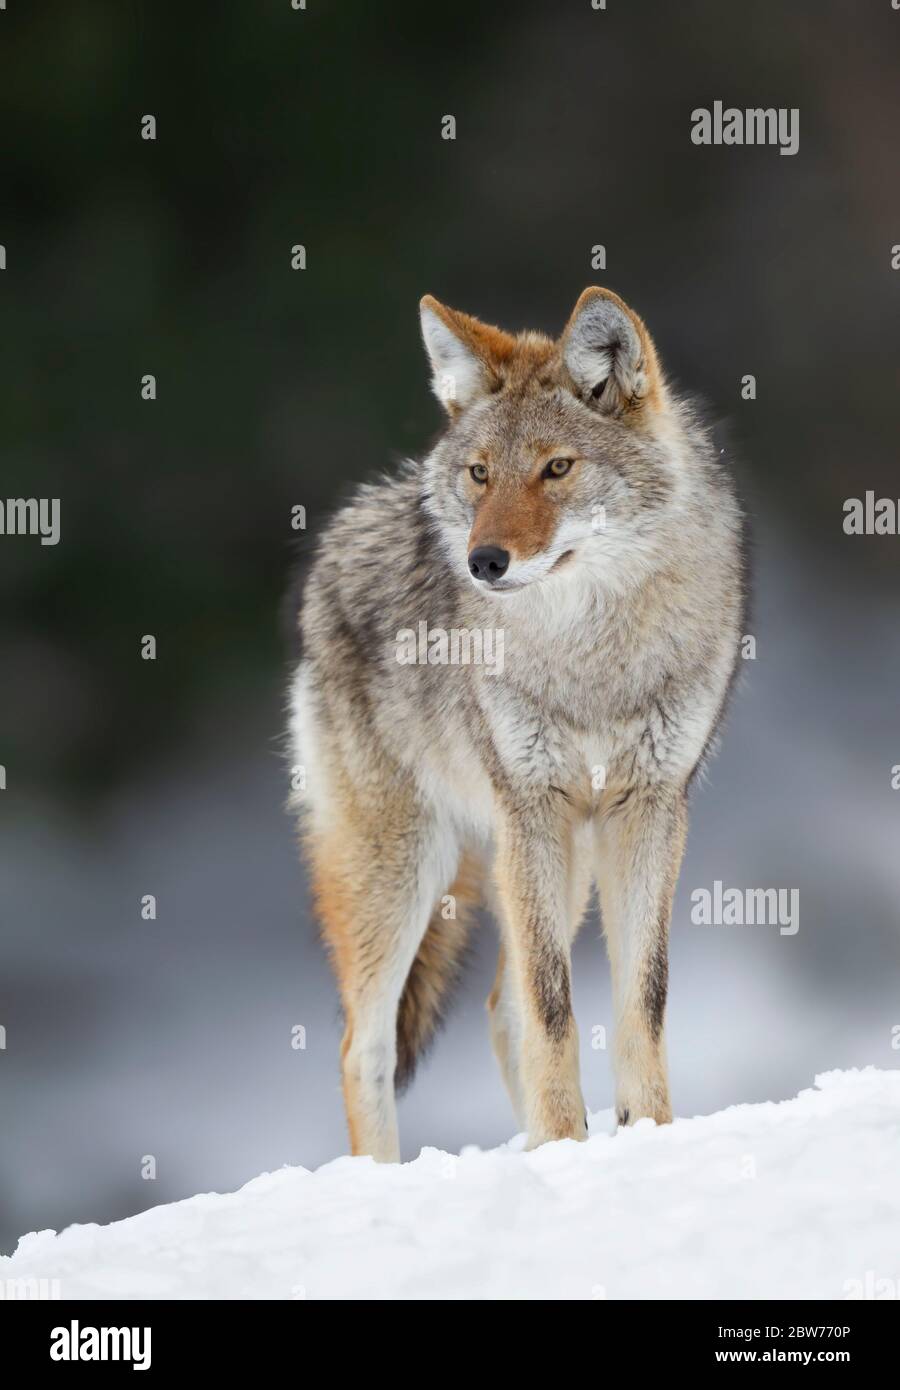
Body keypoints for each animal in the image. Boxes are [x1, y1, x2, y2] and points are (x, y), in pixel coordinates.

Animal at [288, 287, 745, 1161]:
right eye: (480, 473)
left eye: (556, 468)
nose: (482, 562)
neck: (589, 657)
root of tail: (334, 546)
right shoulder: (531, 808)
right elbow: (554, 1007)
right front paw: (567, 1145)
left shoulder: (649, 808)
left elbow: (640, 1002)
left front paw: (645, 1136)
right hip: (405, 870)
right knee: (365, 1046)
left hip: (553, 863)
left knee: (503, 1012)